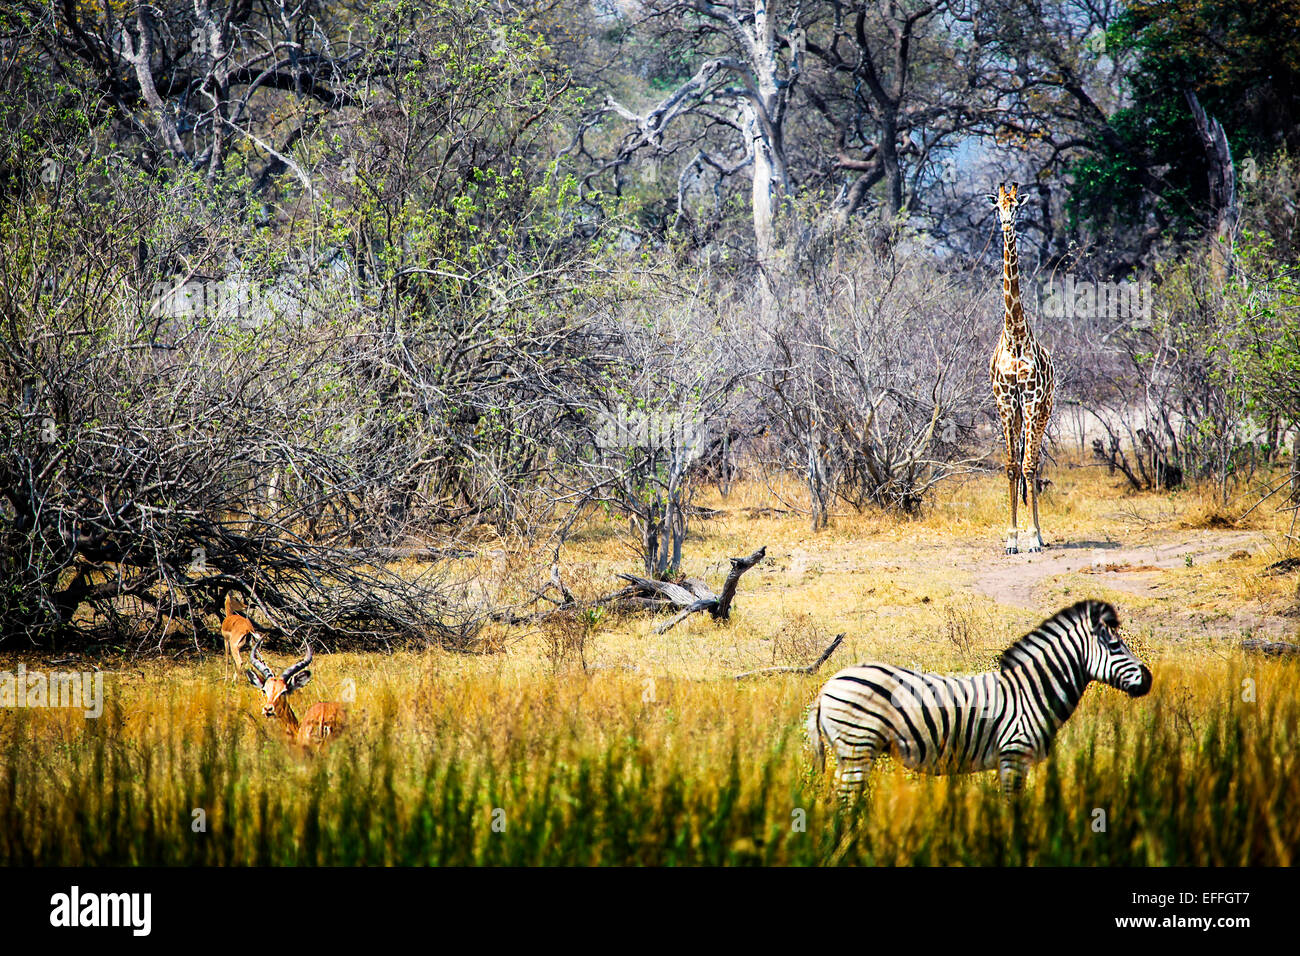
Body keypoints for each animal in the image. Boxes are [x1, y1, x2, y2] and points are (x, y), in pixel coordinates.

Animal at [807, 599, 1152, 797]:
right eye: (1116, 646)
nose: (1148, 680)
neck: (1032, 691)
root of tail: (826, 687)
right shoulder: (1014, 754)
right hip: (858, 747)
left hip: (850, 753)